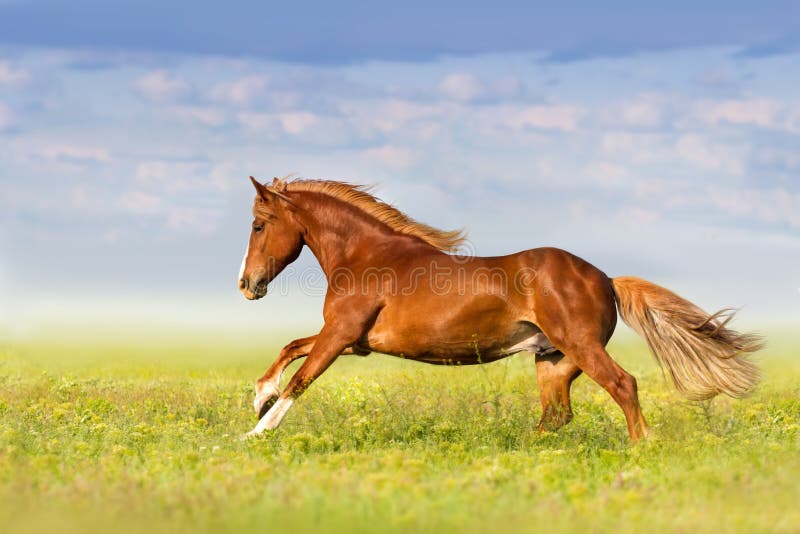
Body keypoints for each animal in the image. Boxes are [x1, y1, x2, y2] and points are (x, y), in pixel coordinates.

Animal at [238, 176, 762, 441]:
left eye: (259, 225)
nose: (247, 285)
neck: (368, 257)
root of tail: (605, 279)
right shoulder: (357, 341)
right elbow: (291, 348)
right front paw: (259, 396)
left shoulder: (342, 334)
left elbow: (303, 378)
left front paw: (255, 434)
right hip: (553, 359)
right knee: (557, 416)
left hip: (578, 348)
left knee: (622, 385)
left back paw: (640, 449)